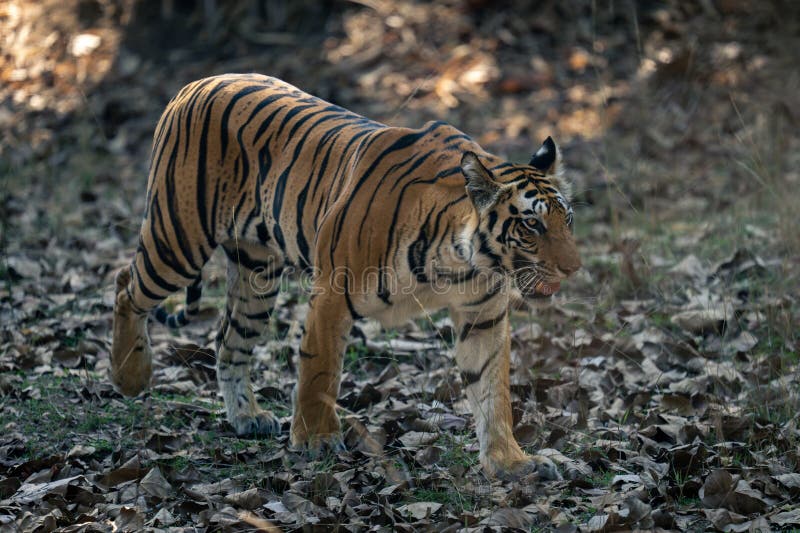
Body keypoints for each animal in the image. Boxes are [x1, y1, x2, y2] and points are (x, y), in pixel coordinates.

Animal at [111, 73, 581, 480]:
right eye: (532, 225)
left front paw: (511, 462)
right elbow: (319, 371)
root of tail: (196, 83)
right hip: (177, 240)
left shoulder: (483, 316)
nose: (574, 268)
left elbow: (492, 391)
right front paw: (316, 440)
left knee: (228, 340)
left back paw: (247, 417)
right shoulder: (331, 294)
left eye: (567, 220)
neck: (460, 261)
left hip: (256, 276)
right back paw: (129, 375)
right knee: (124, 286)